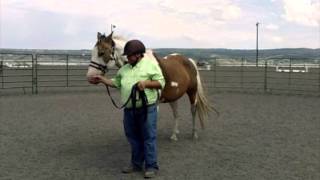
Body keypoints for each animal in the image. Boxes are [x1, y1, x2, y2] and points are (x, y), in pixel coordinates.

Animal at [87, 31, 215, 140]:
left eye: (101, 53)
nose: (90, 77)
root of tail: (189, 61)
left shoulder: (154, 103)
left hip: (192, 93)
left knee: (193, 110)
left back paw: (194, 134)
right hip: (174, 97)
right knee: (176, 113)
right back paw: (174, 134)